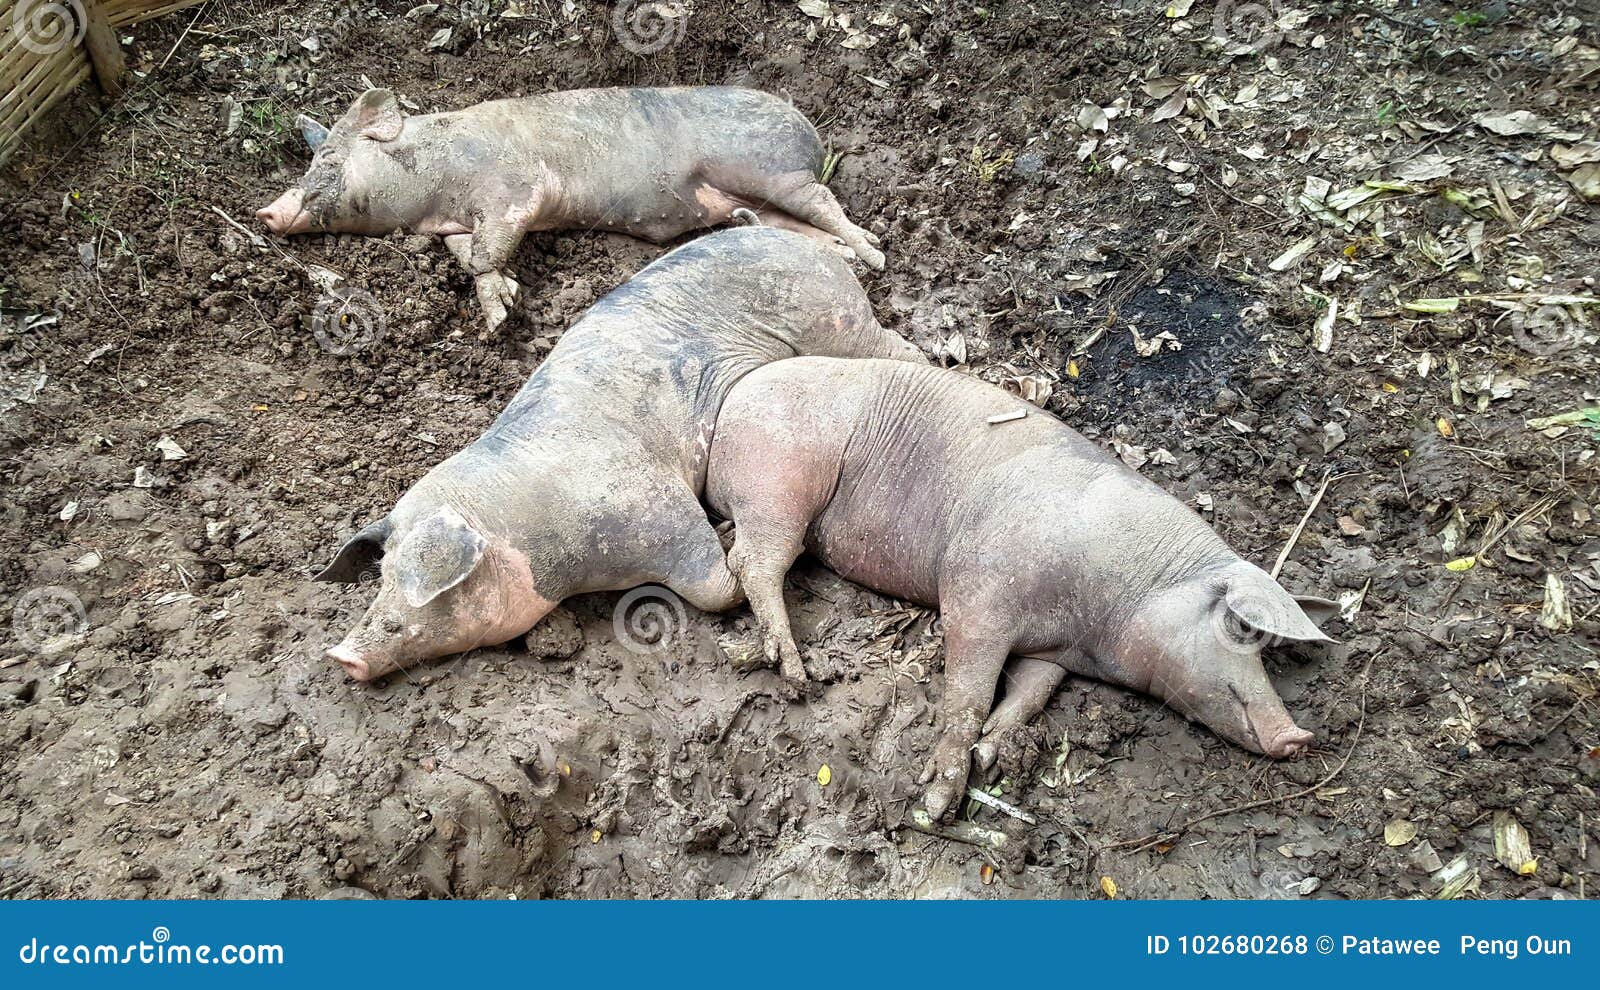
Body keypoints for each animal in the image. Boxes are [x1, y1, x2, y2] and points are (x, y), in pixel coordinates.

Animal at [256, 86, 884, 332]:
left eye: (327, 158)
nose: (266, 212)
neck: (437, 179)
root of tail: (811, 129)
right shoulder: (456, 219)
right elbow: (464, 252)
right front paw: (507, 298)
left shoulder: (512, 187)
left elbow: (489, 246)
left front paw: (500, 317)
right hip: (756, 193)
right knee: (798, 227)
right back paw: (843, 255)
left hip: (773, 170)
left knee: (824, 202)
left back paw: (873, 254)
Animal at [314, 227, 923, 681]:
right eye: (383, 573)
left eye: (430, 591)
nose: (341, 656)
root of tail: (784, 236)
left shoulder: (654, 505)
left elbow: (717, 587)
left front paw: (727, 537)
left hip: (839, 319)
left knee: (899, 349)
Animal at [704, 357, 1339, 820]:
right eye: (1239, 628)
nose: (1299, 736)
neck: (1097, 623)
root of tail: (734, 398)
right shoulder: (978, 595)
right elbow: (967, 695)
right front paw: (935, 803)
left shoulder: (1051, 653)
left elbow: (1031, 694)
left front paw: (991, 750)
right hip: (779, 483)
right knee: (753, 562)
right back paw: (792, 669)